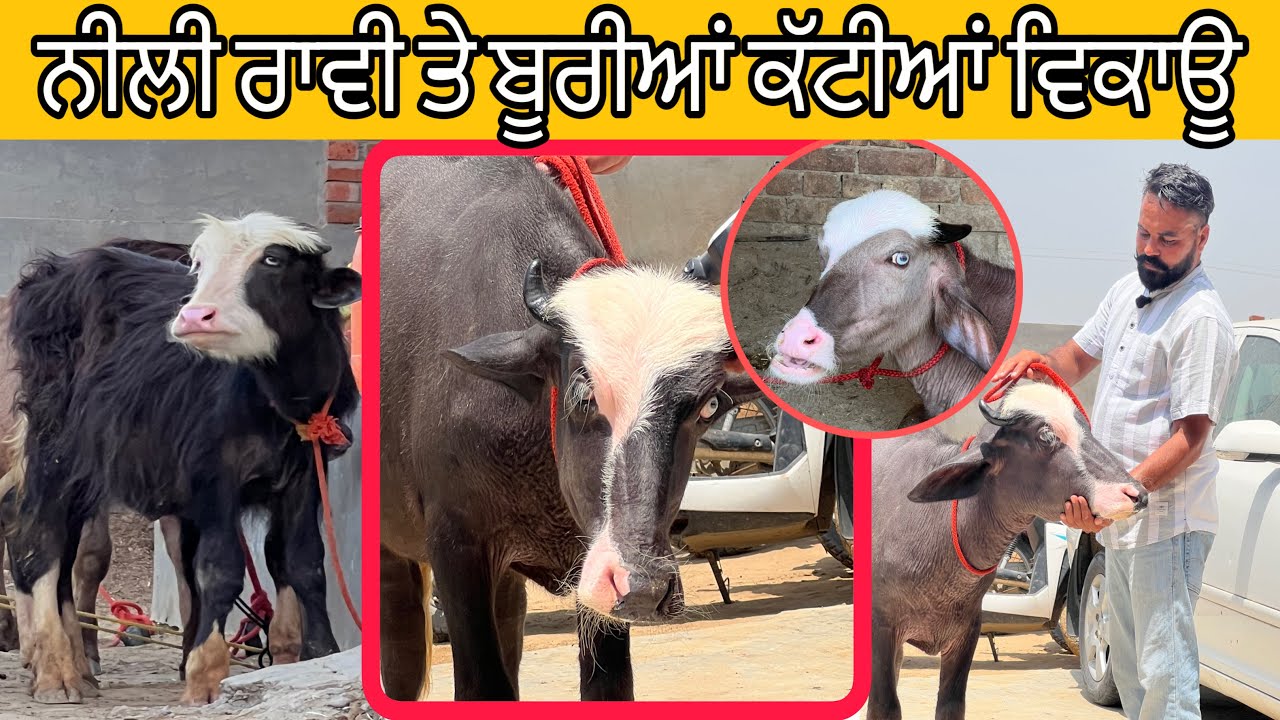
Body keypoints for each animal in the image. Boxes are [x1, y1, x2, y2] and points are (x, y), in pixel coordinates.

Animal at [6, 213, 360, 705]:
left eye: (272, 259)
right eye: (200, 264)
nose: (194, 316)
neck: (279, 397)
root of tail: (51, 273)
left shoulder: (305, 475)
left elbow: (303, 562)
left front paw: (314, 655)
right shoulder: (215, 481)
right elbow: (219, 569)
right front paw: (205, 674)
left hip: (83, 475)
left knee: (65, 552)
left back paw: (78, 669)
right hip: (53, 449)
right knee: (38, 541)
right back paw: (56, 673)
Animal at [378, 155, 760, 701]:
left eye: (708, 406)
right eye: (584, 394)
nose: (643, 587)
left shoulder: (592, 576)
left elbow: (608, 684)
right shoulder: (455, 544)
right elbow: (482, 684)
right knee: (402, 659)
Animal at [869, 381, 1148, 719]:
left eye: (1086, 427)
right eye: (1046, 437)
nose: (1136, 493)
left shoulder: (966, 632)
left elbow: (951, 703)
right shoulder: (881, 626)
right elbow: (884, 705)